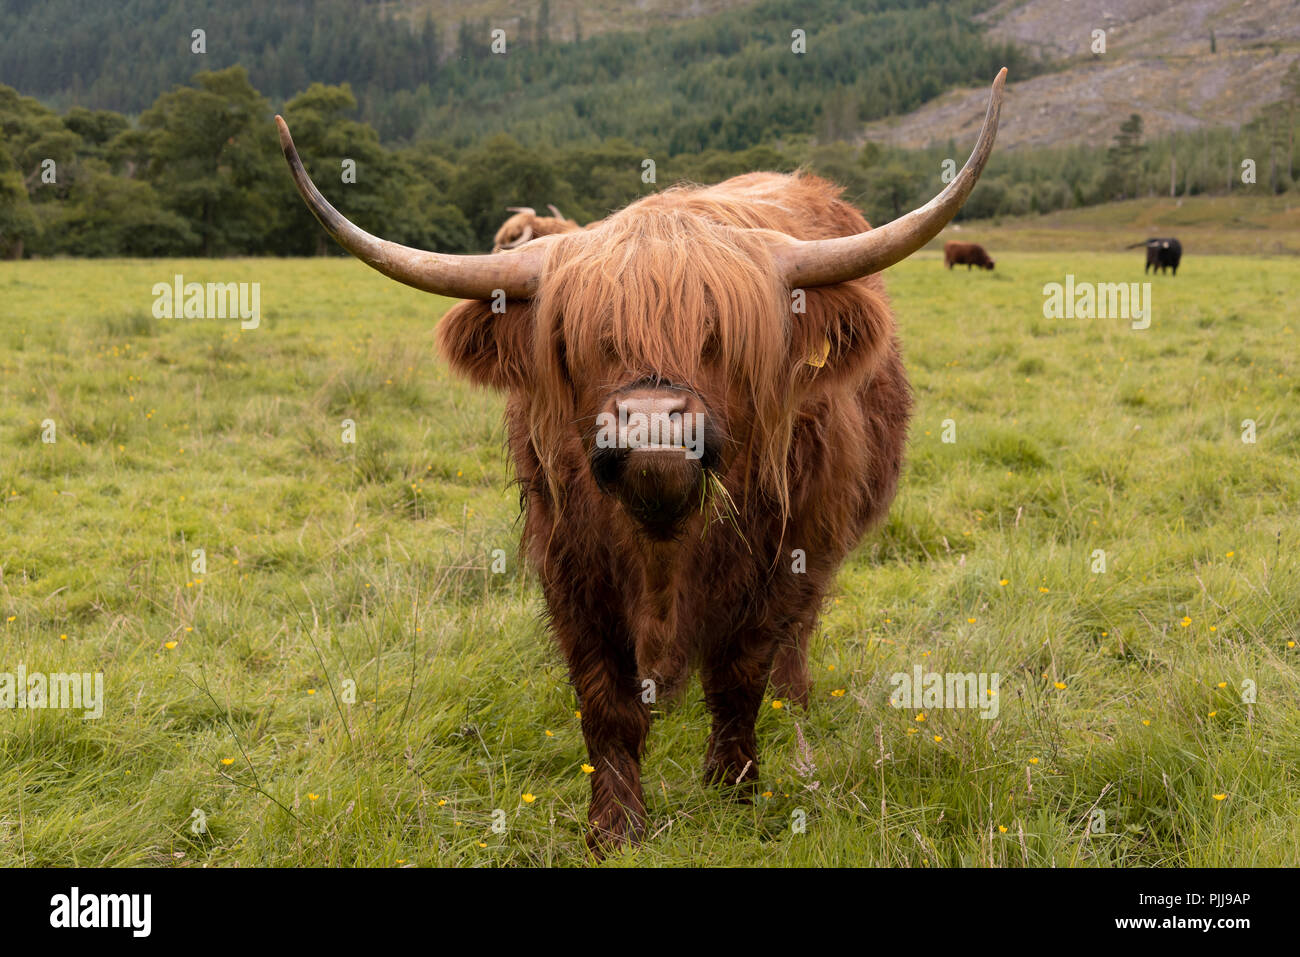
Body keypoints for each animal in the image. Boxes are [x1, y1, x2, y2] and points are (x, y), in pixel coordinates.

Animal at [276, 68, 1007, 854]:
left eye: (719, 336)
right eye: (587, 339)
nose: (653, 425)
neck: (665, 542)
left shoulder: (790, 552)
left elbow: (740, 674)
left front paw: (732, 789)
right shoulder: (568, 562)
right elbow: (606, 701)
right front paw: (615, 824)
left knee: (794, 641)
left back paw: (797, 697)